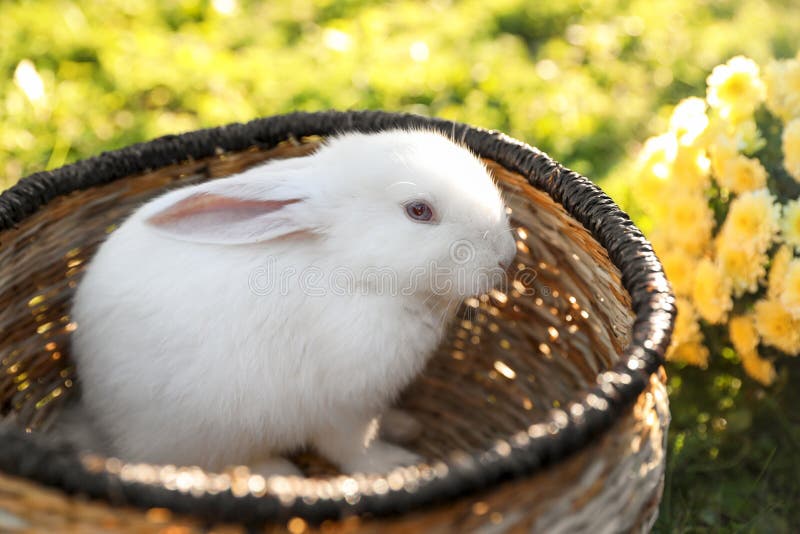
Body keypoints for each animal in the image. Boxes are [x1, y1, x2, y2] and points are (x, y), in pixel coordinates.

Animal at [69, 129, 518, 476]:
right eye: (419, 211)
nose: (506, 256)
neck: (358, 275)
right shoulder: (346, 407)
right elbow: (354, 449)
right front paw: (397, 466)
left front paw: (404, 430)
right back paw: (280, 472)